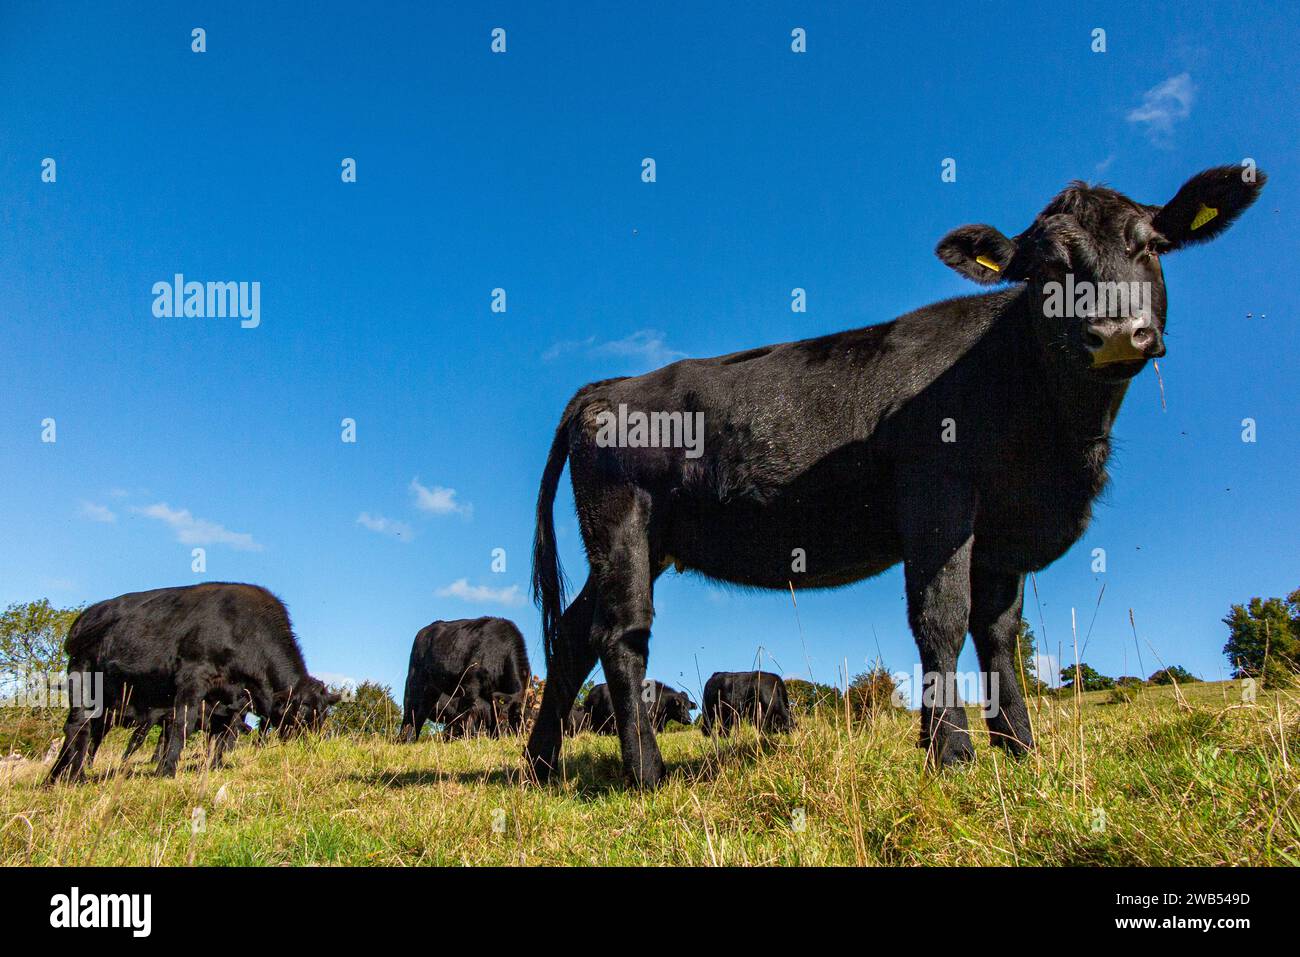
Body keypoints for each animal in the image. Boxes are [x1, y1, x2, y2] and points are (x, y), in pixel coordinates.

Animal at [47, 583, 339, 782]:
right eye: (300, 715)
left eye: (323, 716)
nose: (310, 748)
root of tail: (86, 616)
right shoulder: (193, 676)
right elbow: (182, 724)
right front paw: (166, 771)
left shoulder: (232, 702)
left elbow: (223, 737)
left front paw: (215, 766)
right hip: (82, 673)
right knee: (79, 725)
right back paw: (73, 776)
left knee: (83, 728)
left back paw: (57, 776)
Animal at [398, 617, 531, 742]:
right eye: (511, 714)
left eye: (522, 716)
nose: (521, 734)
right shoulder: (470, 686)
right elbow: (467, 715)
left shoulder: (491, 697)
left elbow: (493, 718)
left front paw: (495, 738)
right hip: (415, 681)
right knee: (410, 714)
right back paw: (404, 740)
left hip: (432, 691)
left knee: (420, 716)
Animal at [525, 166, 1266, 786]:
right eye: (1047, 269)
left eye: (1152, 245)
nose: (1115, 331)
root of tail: (612, 383)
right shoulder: (937, 493)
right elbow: (941, 616)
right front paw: (952, 751)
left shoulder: (1000, 531)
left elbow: (999, 633)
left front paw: (1021, 748)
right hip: (624, 520)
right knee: (622, 636)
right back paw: (646, 771)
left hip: (640, 541)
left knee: (573, 635)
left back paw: (540, 765)